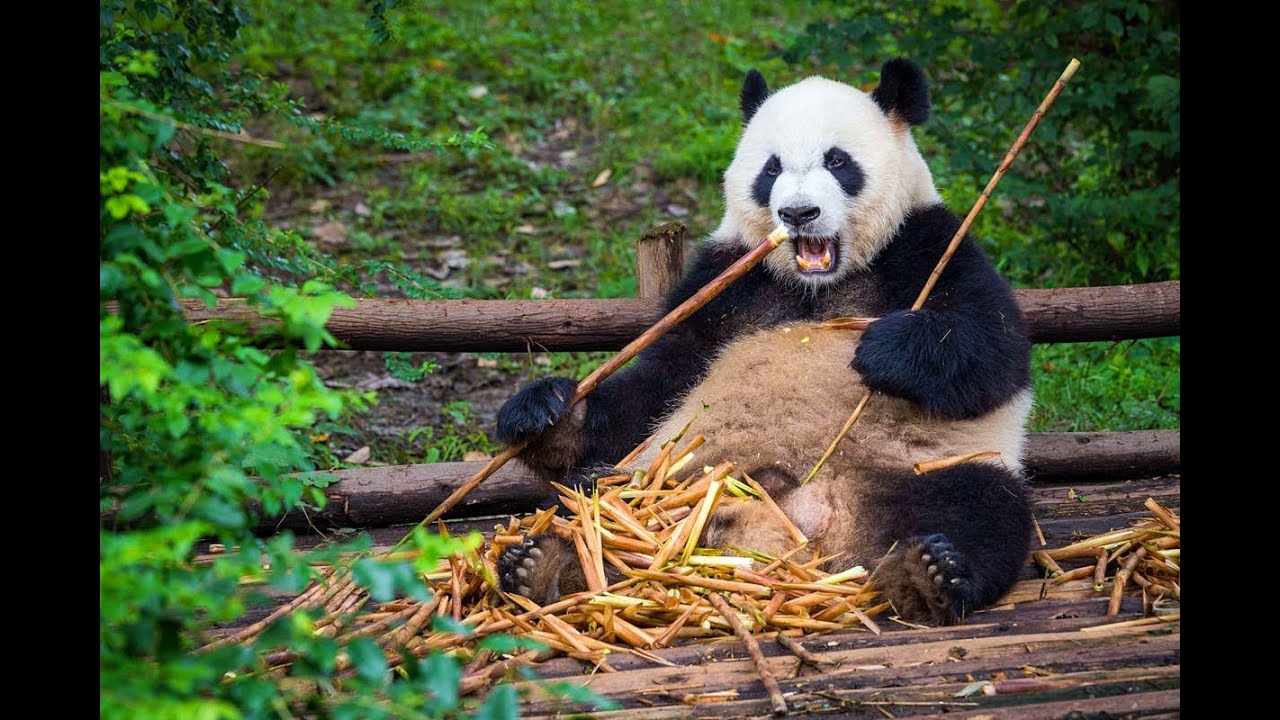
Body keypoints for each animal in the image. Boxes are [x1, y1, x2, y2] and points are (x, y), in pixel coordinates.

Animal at [493, 59, 1033, 625]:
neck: (818, 285)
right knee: (584, 501)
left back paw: (930, 574)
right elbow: (659, 381)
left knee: (980, 507)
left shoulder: (928, 242)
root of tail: (802, 522)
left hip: (920, 467)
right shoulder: (725, 279)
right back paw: (545, 564)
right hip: (665, 477)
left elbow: (993, 349)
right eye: (770, 169)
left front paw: (882, 350)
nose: (798, 213)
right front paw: (545, 411)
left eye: (837, 161)